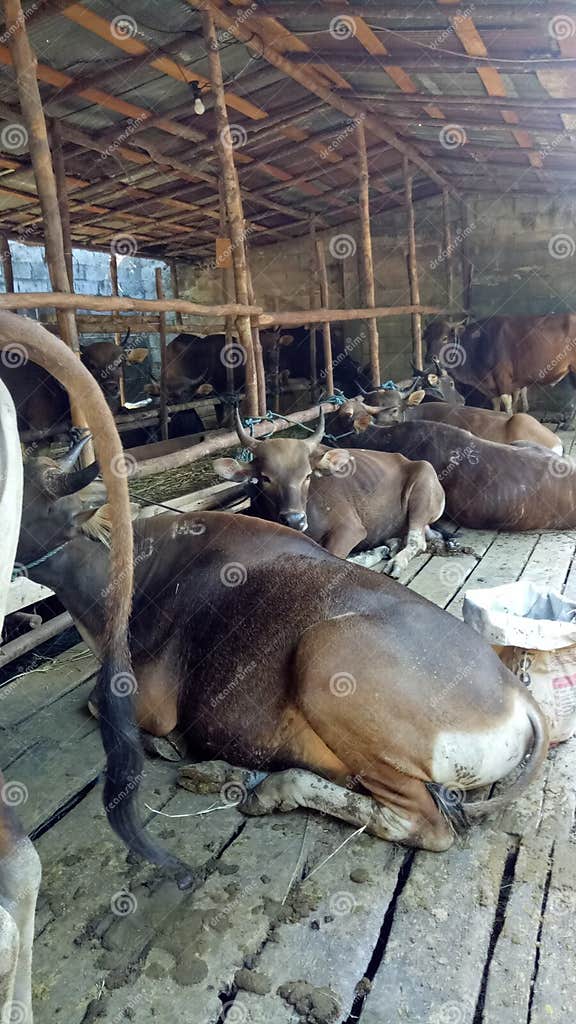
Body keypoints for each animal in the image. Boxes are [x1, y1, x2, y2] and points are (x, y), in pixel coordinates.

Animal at [17, 427, 549, 865]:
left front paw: (168, 745)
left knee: (423, 823)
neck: (136, 571)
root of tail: (520, 699)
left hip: (325, 662)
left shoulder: (144, 698)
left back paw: (264, 786)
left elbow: (96, 705)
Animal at [424, 314, 576, 414]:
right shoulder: (490, 385)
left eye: (444, 338)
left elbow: (507, 403)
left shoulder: (503, 379)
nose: (429, 358)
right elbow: (496, 404)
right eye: (425, 338)